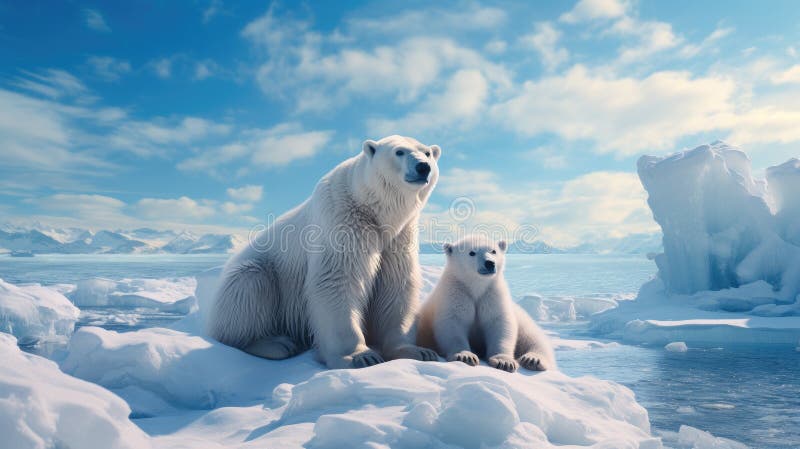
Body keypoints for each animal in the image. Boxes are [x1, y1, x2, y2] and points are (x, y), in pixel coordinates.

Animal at [208, 135, 441, 369]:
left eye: (427, 153)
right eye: (399, 152)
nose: (423, 167)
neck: (373, 209)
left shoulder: (399, 236)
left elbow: (396, 285)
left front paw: (418, 351)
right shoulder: (343, 221)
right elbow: (338, 280)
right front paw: (361, 357)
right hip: (256, 275)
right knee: (249, 288)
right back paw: (277, 344)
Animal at [416, 235, 556, 372]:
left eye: (493, 251)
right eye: (472, 252)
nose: (489, 263)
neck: (476, 286)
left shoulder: (492, 294)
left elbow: (499, 323)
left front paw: (504, 362)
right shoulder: (456, 293)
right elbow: (453, 322)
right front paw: (465, 356)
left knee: (533, 338)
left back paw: (532, 359)